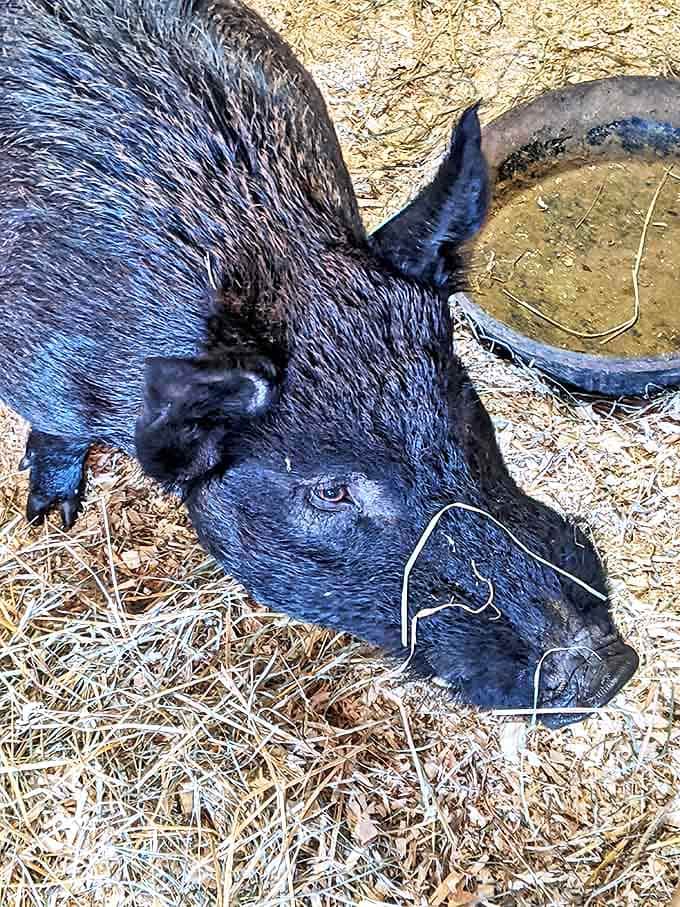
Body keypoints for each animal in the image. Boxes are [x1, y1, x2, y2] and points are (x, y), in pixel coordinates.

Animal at [0, 0, 638, 724]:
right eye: (329, 490)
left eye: (461, 407)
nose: (602, 666)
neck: (270, 261)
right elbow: (59, 433)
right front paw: (49, 515)